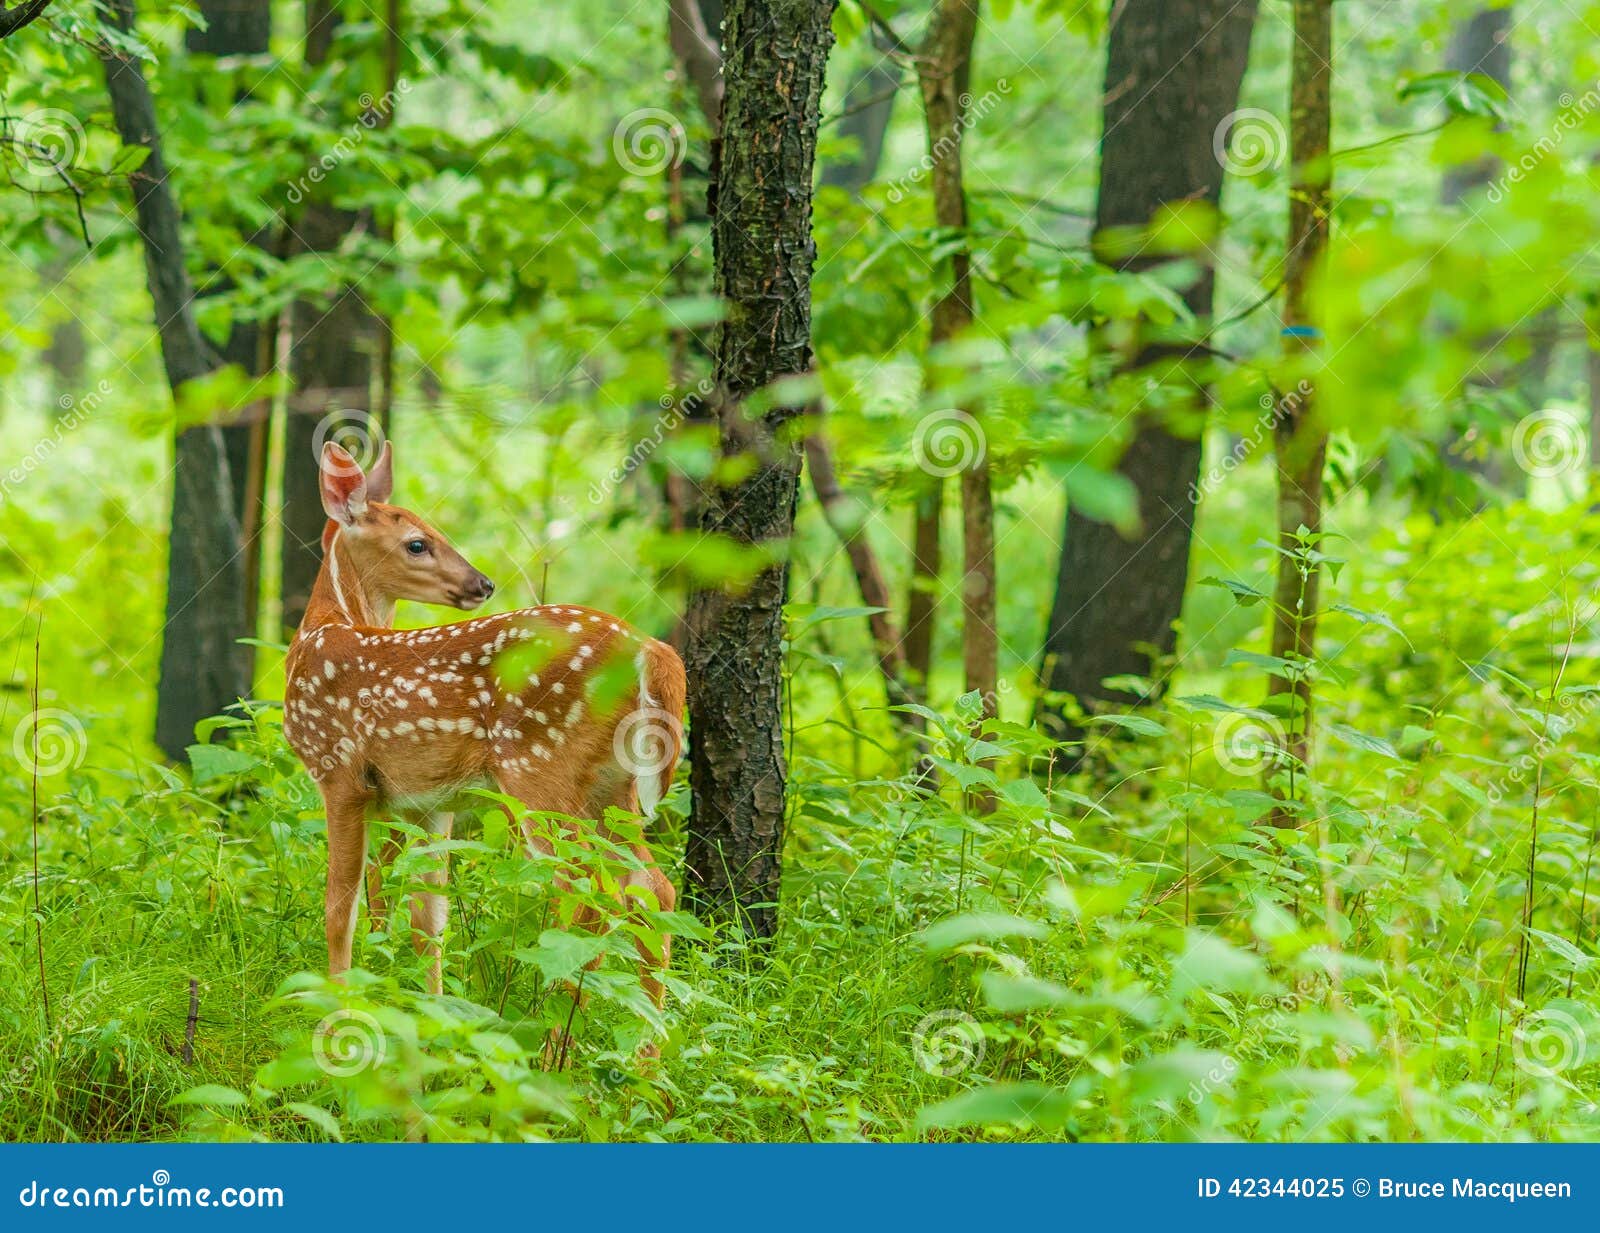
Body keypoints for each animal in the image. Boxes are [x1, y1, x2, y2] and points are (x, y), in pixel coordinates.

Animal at [282, 440, 684, 1045]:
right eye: (418, 542)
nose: (482, 584)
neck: (320, 633)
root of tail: (650, 650)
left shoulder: (340, 773)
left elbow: (339, 909)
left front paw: (336, 1017)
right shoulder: (427, 804)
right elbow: (426, 919)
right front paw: (433, 1022)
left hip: (538, 767)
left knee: (587, 893)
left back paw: (558, 1046)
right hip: (614, 789)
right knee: (652, 889)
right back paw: (647, 1053)